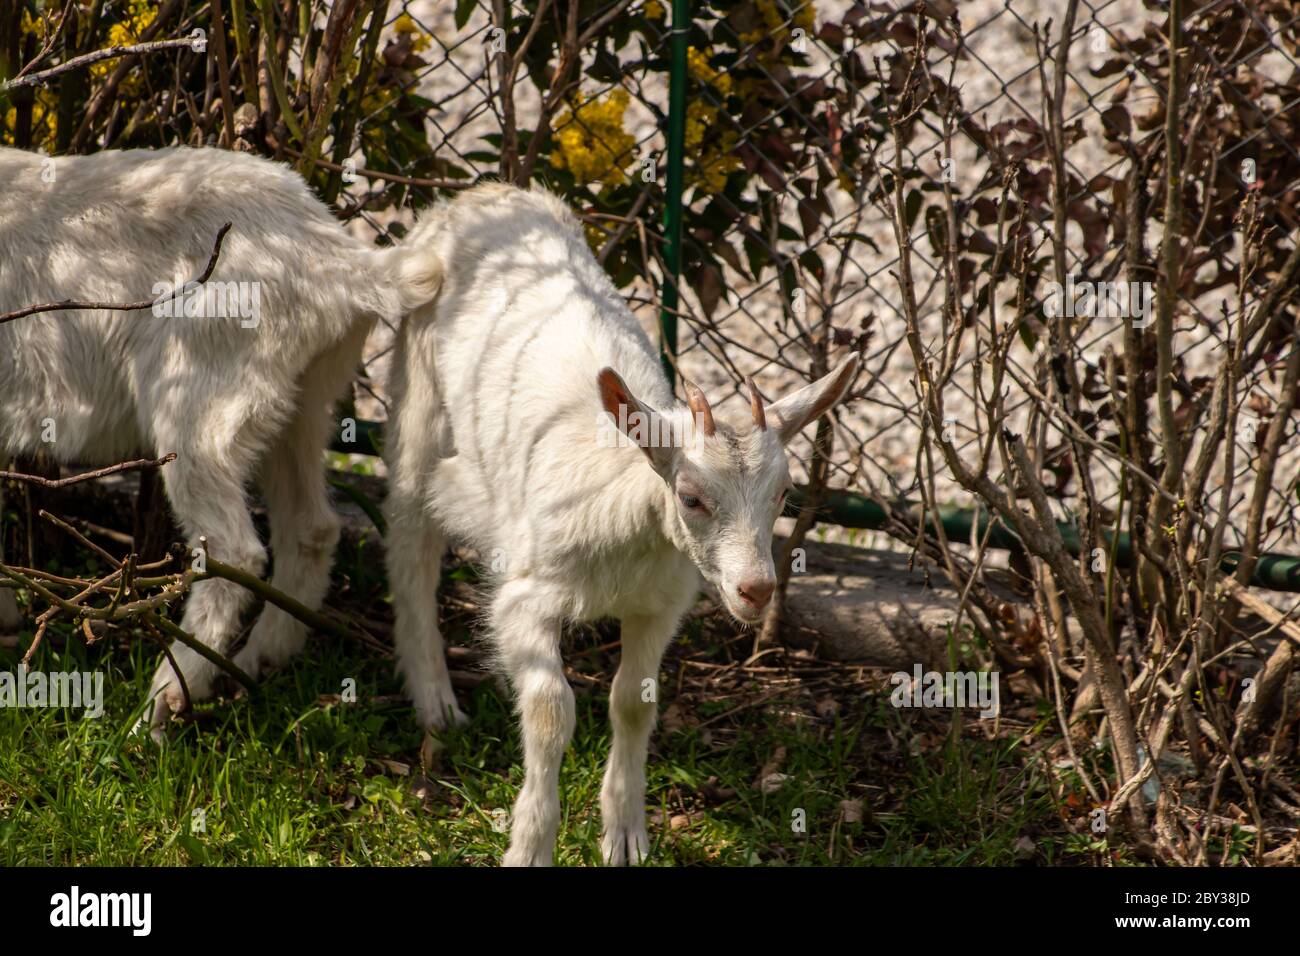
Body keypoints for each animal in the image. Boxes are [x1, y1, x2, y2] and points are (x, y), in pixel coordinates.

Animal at [0, 146, 439, 735]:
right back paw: (259, 660)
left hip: (197, 405)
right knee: (312, 528)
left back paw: (159, 707)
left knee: (235, 551)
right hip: (303, 402)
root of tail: (341, 262)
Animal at [385, 183, 857, 865]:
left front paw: (627, 834)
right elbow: (551, 708)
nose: (756, 589)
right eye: (690, 497)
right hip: (417, 378)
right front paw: (531, 844)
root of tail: (486, 194)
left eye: (786, 492)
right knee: (409, 537)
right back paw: (435, 702)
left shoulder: (659, 604)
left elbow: (633, 701)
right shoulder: (523, 598)